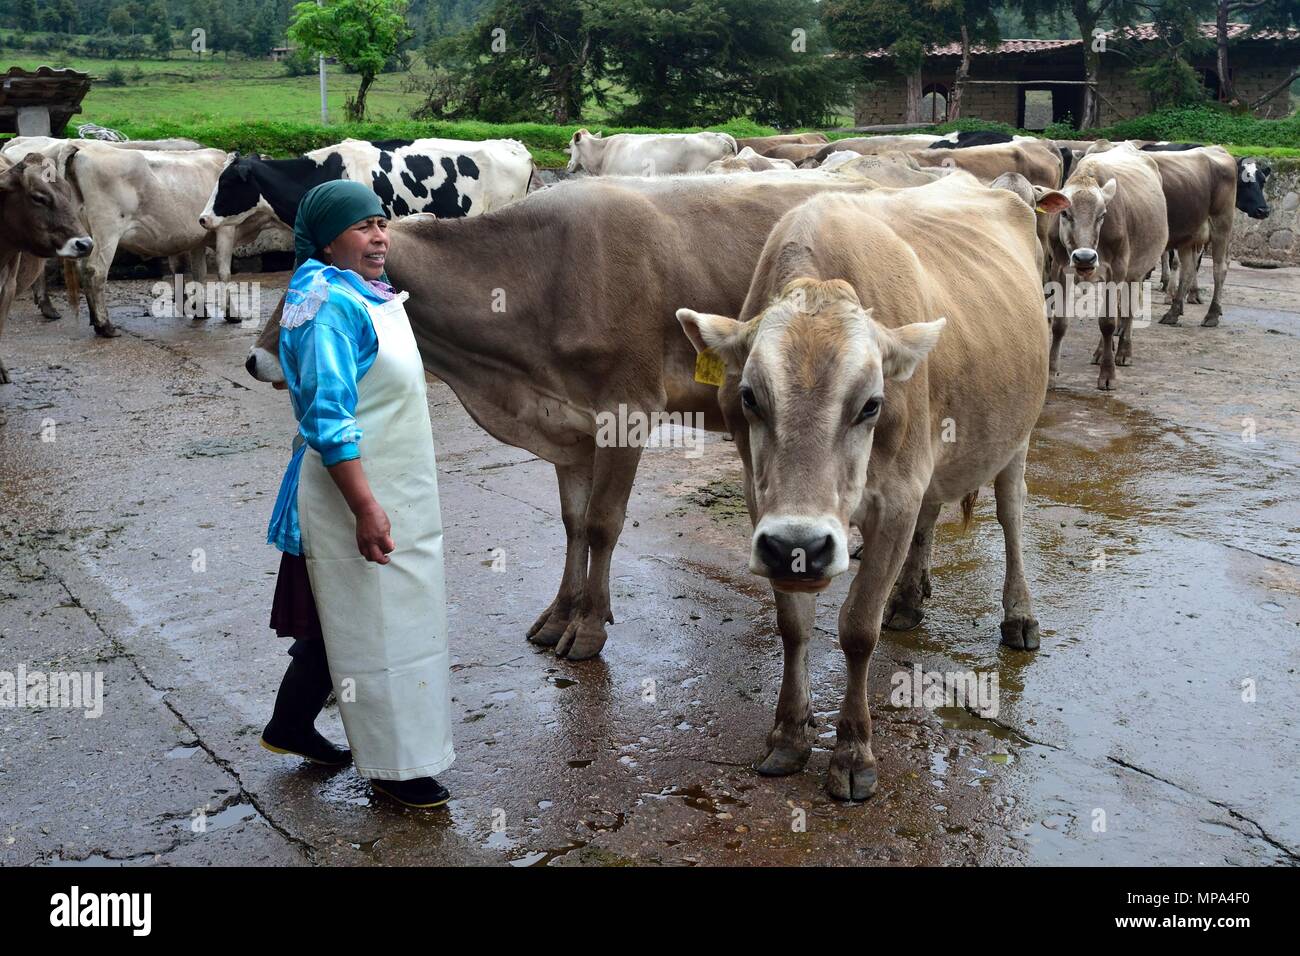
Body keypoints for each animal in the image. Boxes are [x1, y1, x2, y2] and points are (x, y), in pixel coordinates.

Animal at [673, 171, 1052, 799]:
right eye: (748, 396)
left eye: (871, 403)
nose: (799, 545)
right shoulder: (762, 502)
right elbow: (794, 624)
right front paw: (789, 733)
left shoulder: (895, 499)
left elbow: (856, 628)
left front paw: (853, 752)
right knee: (933, 513)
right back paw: (910, 596)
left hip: (1016, 435)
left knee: (1013, 514)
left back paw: (1019, 615)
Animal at [1047, 143, 1168, 389]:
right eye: (1065, 213)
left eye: (1102, 215)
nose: (1084, 258)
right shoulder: (1060, 269)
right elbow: (1059, 324)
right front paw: (1051, 373)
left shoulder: (1117, 270)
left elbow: (1108, 323)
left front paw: (1108, 374)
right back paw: (1101, 352)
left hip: (1136, 271)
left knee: (1128, 309)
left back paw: (1123, 352)